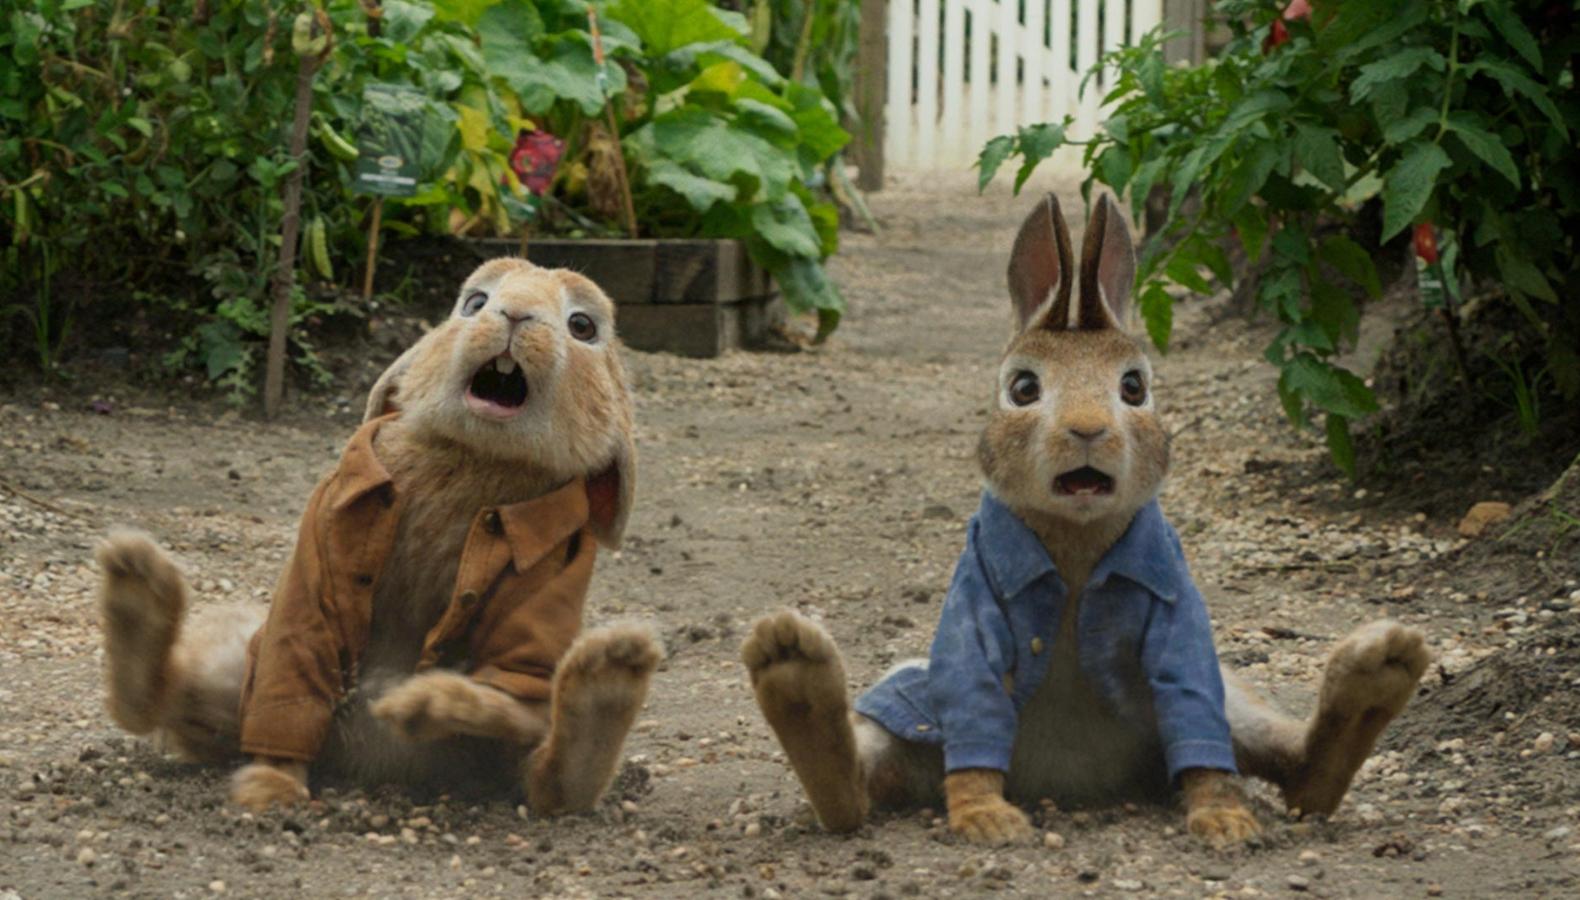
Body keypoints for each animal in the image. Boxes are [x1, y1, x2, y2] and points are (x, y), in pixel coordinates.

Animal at [95, 257, 661, 814]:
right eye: (473, 302)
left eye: (583, 326)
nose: (516, 313)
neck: (481, 456)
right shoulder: (316, 565)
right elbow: (296, 665)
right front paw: (271, 790)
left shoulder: (553, 573)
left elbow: (512, 673)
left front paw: (424, 702)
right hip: (242, 671)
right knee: (168, 703)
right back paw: (137, 578)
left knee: (550, 781)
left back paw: (605, 673)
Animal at [740, 194, 1430, 846]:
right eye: (1022, 389)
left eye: (1134, 388)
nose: (1088, 430)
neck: (1074, 541)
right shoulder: (976, 607)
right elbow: (974, 697)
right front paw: (986, 819)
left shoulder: (1178, 618)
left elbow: (1193, 707)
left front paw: (1224, 821)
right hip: (906, 711)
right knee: (859, 787)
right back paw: (791, 666)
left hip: (1232, 704)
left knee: (1294, 769)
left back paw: (1381, 669)